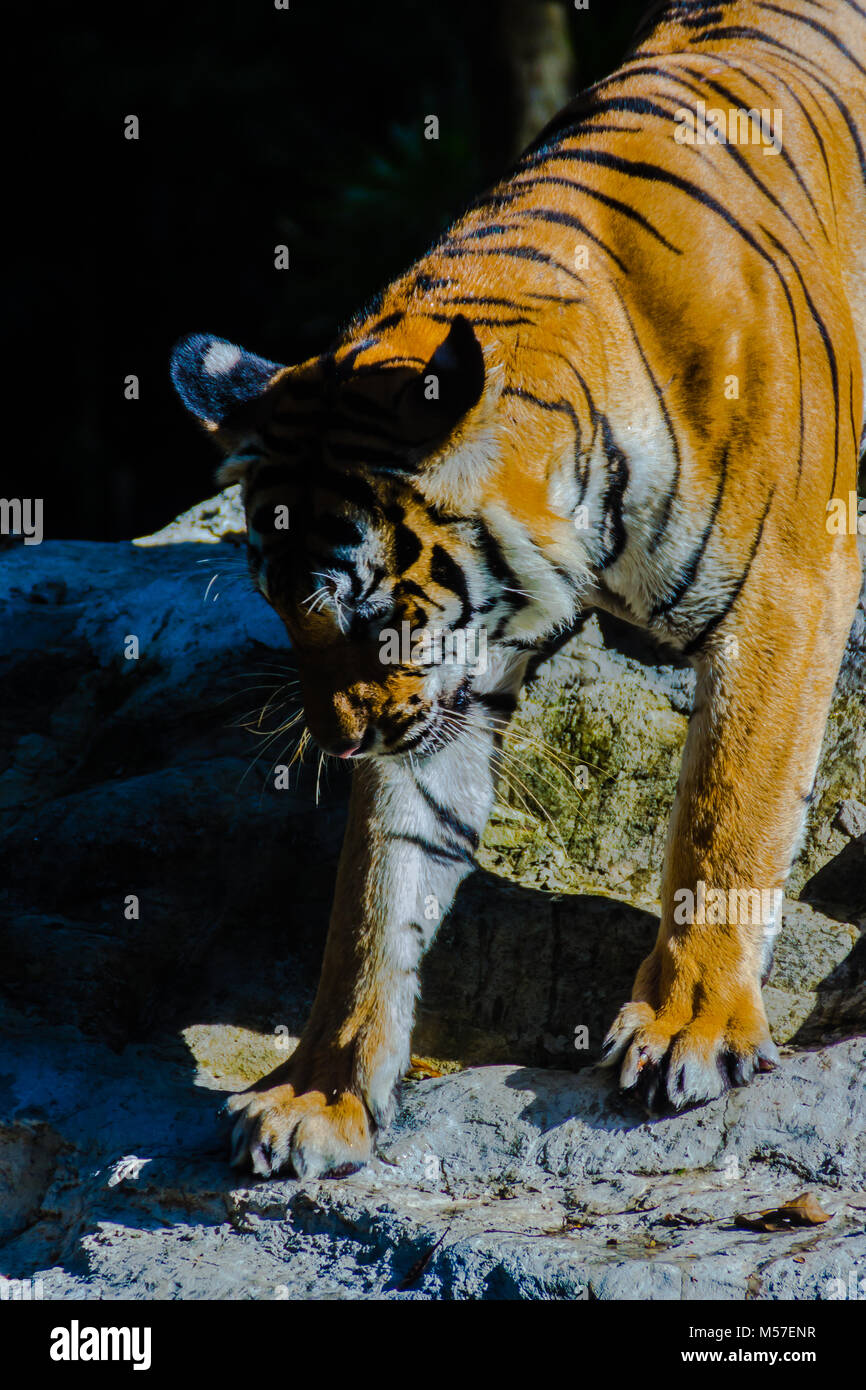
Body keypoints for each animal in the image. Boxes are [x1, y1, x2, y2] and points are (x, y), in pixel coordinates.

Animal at [171, 0, 865, 1178]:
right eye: (275, 604)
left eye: (362, 607)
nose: (336, 743)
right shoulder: (448, 686)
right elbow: (378, 889)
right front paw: (321, 1091)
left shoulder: (785, 594)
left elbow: (726, 814)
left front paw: (689, 1030)